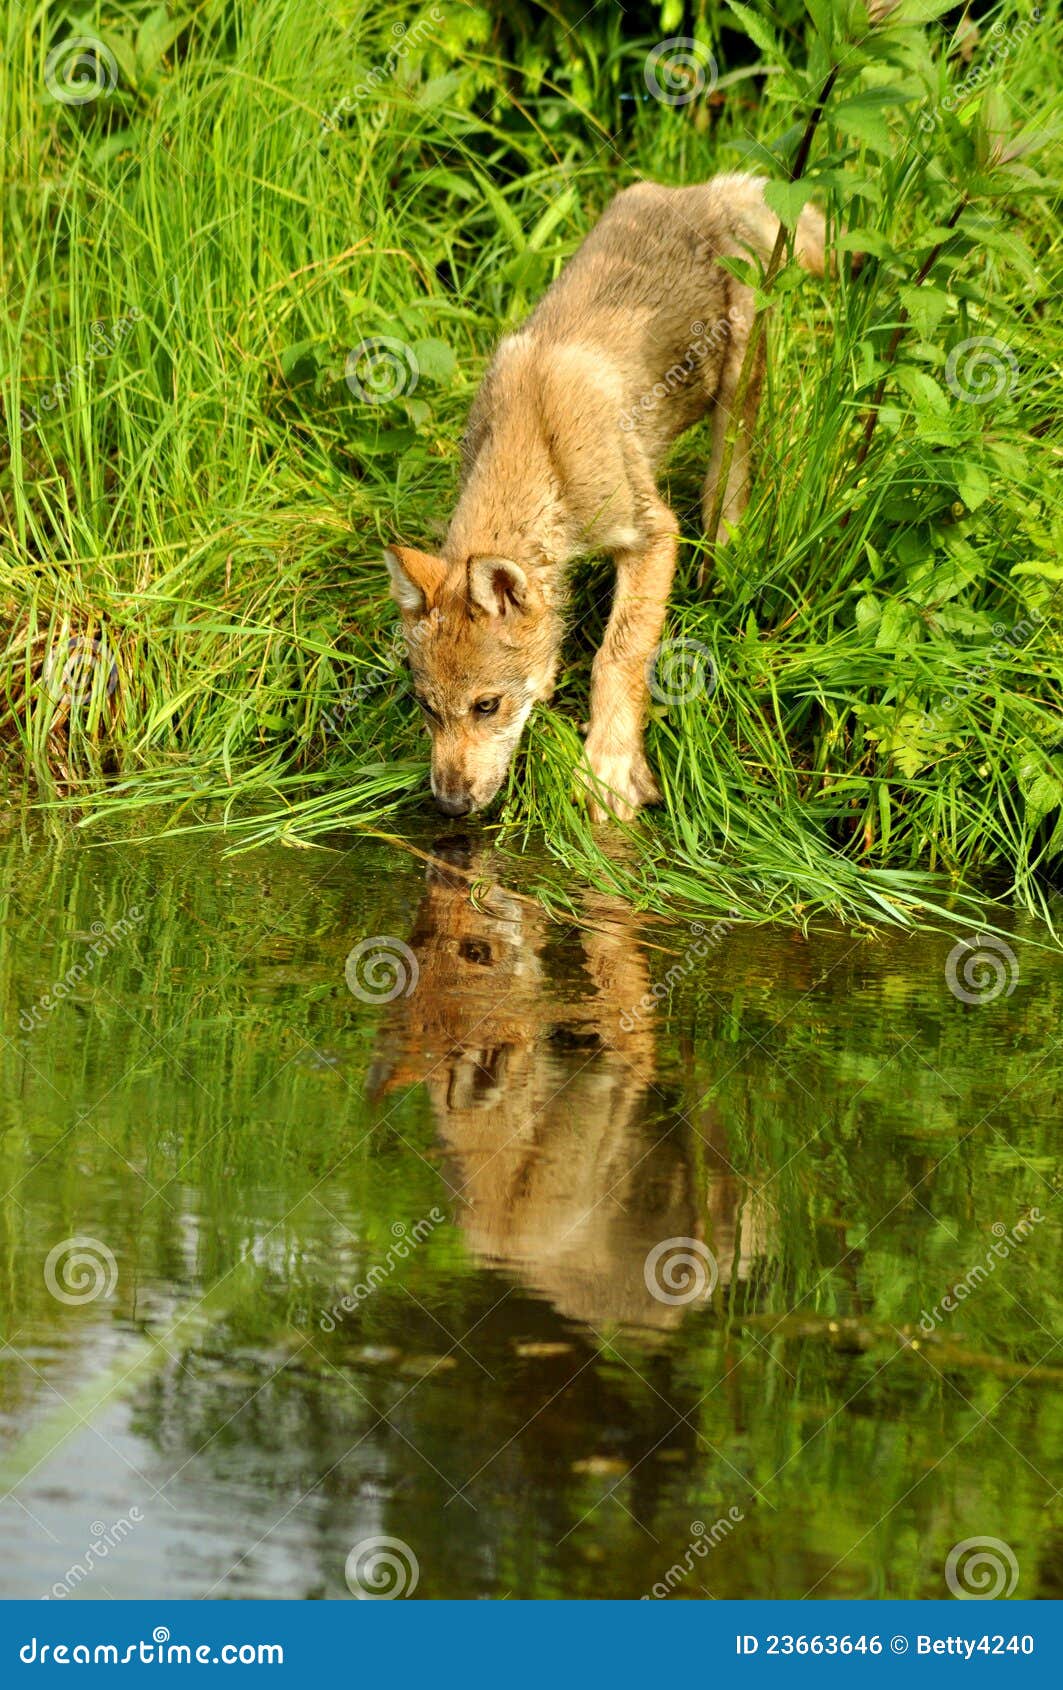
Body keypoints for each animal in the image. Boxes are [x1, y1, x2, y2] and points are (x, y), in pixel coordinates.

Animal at [384, 173, 825, 820]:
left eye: (487, 706)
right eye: (426, 708)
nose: (450, 806)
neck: (537, 438)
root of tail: (707, 189)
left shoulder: (653, 533)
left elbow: (616, 657)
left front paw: (610, 769)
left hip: (737, 384)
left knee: (728, 484)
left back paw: (722, 564)